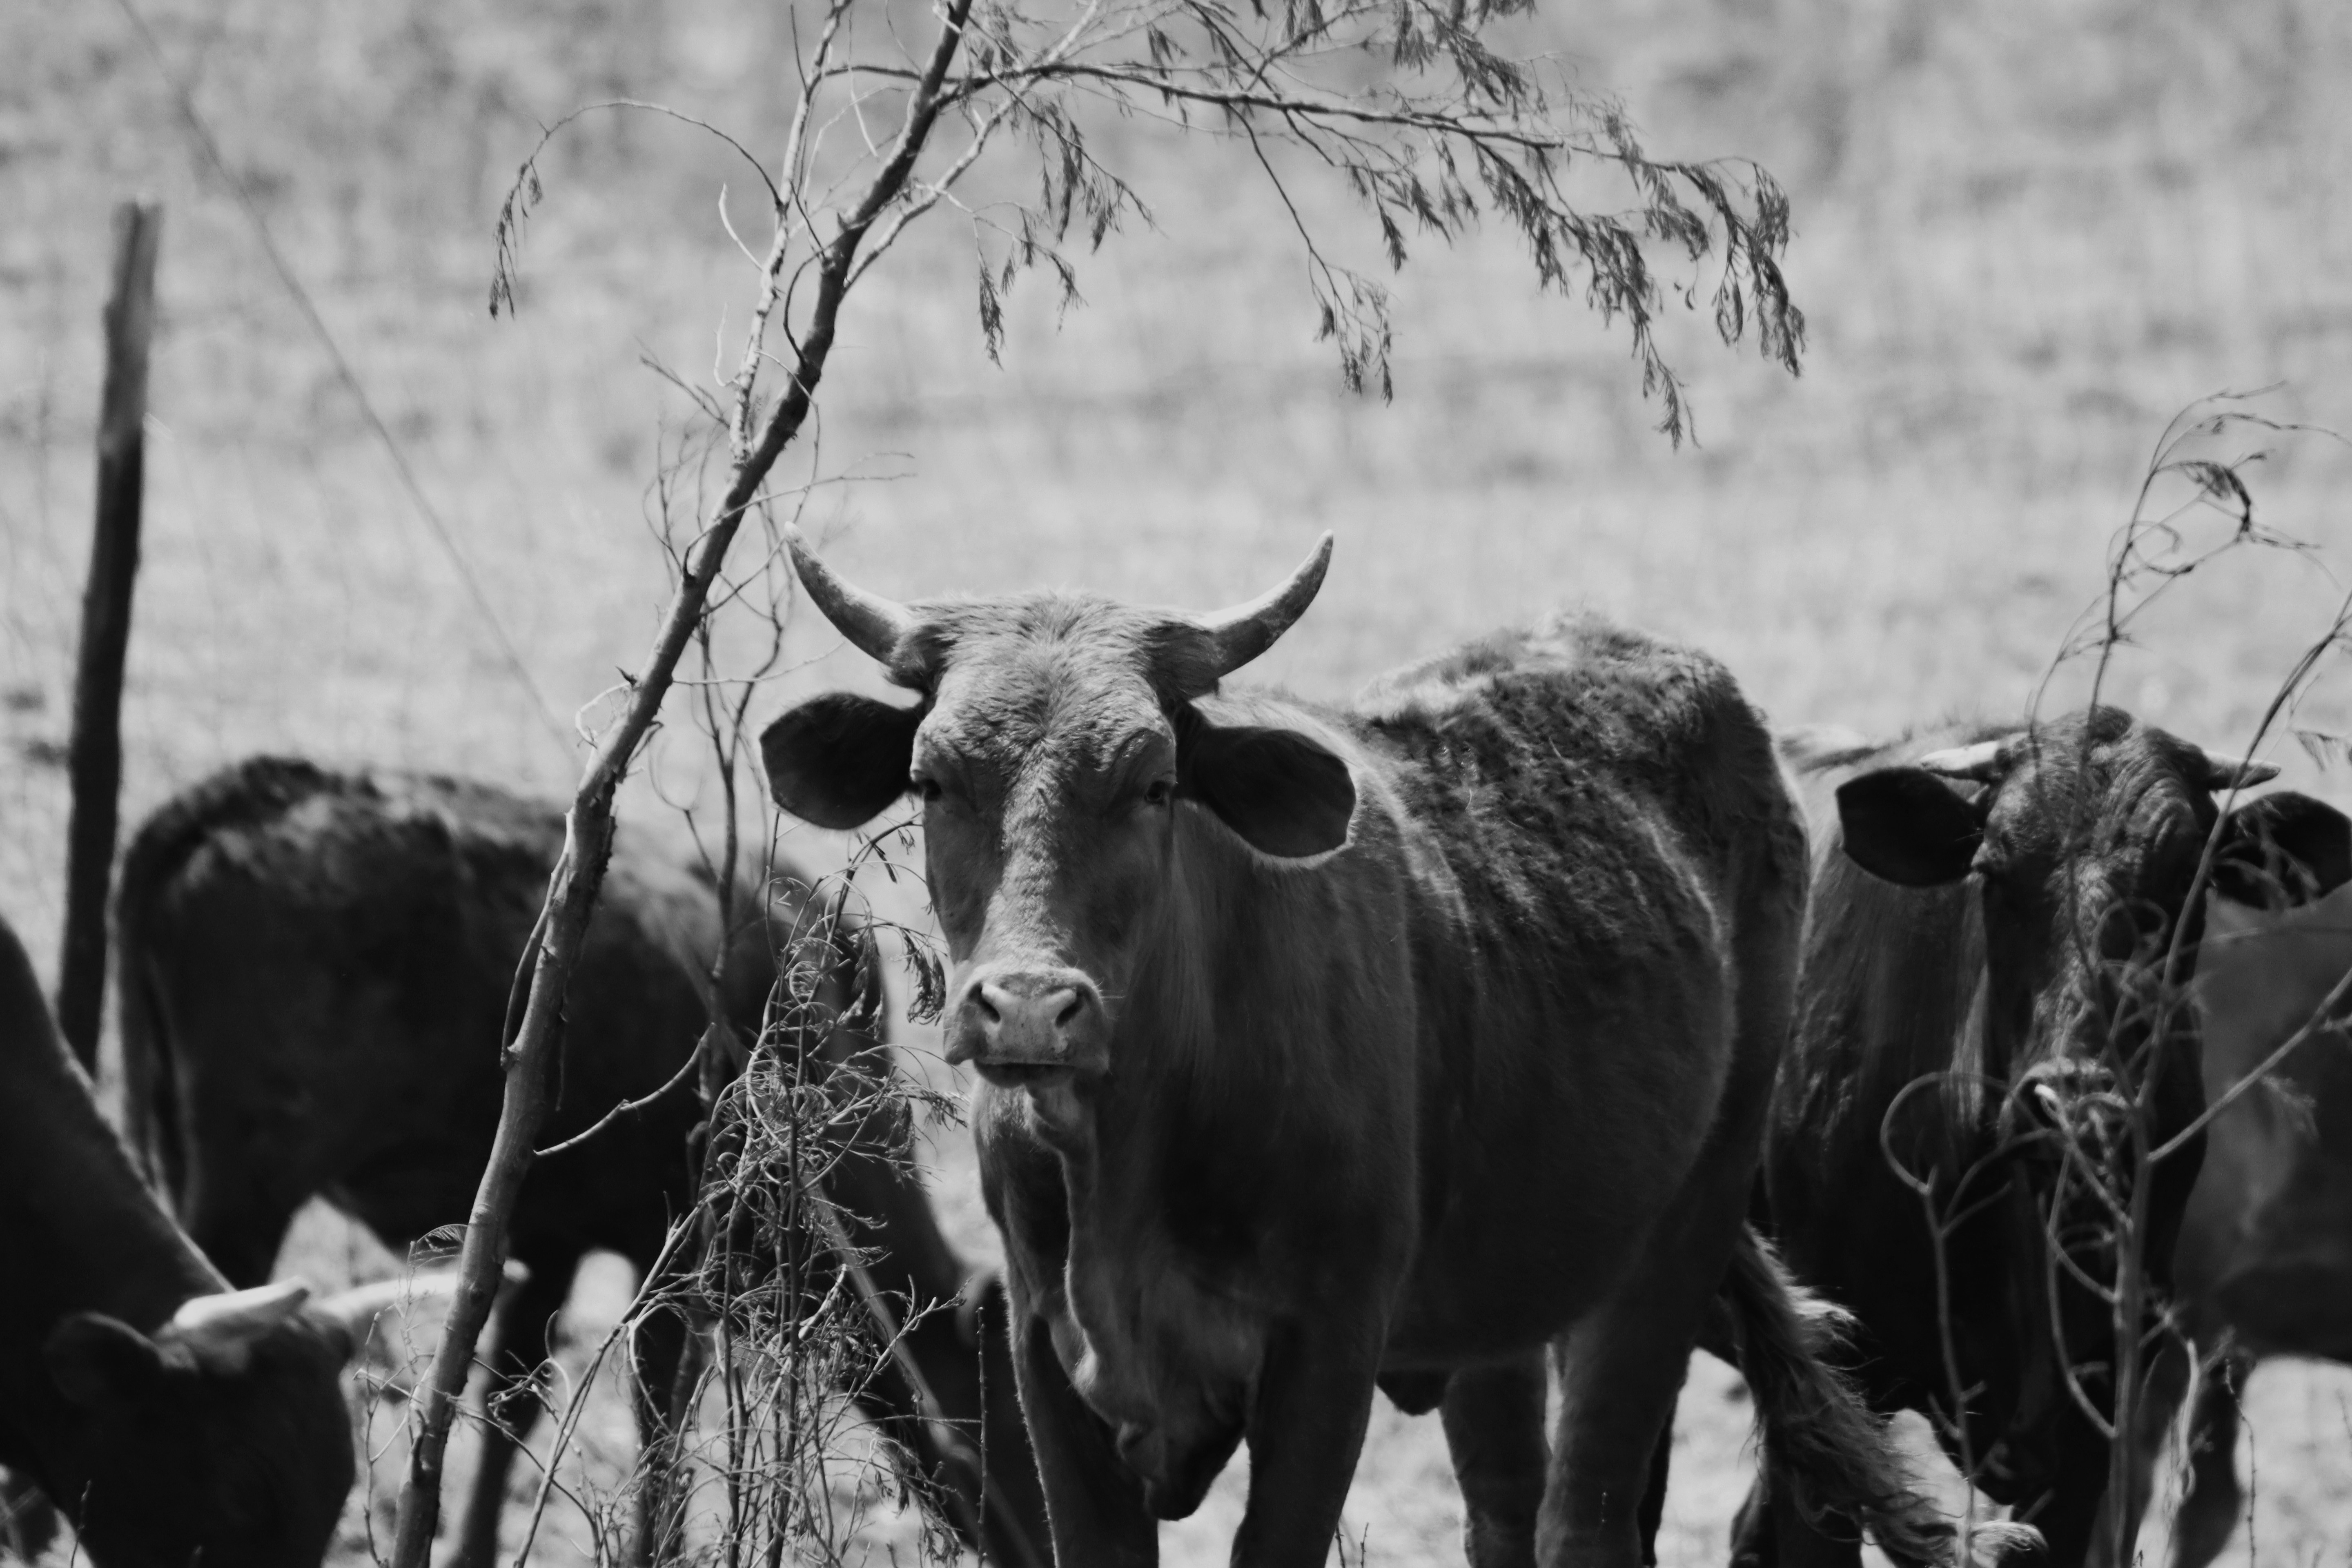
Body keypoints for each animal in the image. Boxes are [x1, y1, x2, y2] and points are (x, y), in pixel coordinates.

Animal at [112, 757, 1050, 1568]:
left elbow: (512, 1399)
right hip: (248, 1191)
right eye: (1017, 1426)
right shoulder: (673, 1252)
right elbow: (659, 1420)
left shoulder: (546, 1239)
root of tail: (240, 793)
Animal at [755, 532, 1951, 1568]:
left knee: (1589, 1521)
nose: (1031, 1009)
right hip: (1502, 1301)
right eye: (933, 781)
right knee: (1505, 1518)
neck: (1128, 1159)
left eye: (1154, 783)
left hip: (1673, 1242)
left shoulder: (1324, 1357)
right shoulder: (1048, 1362)